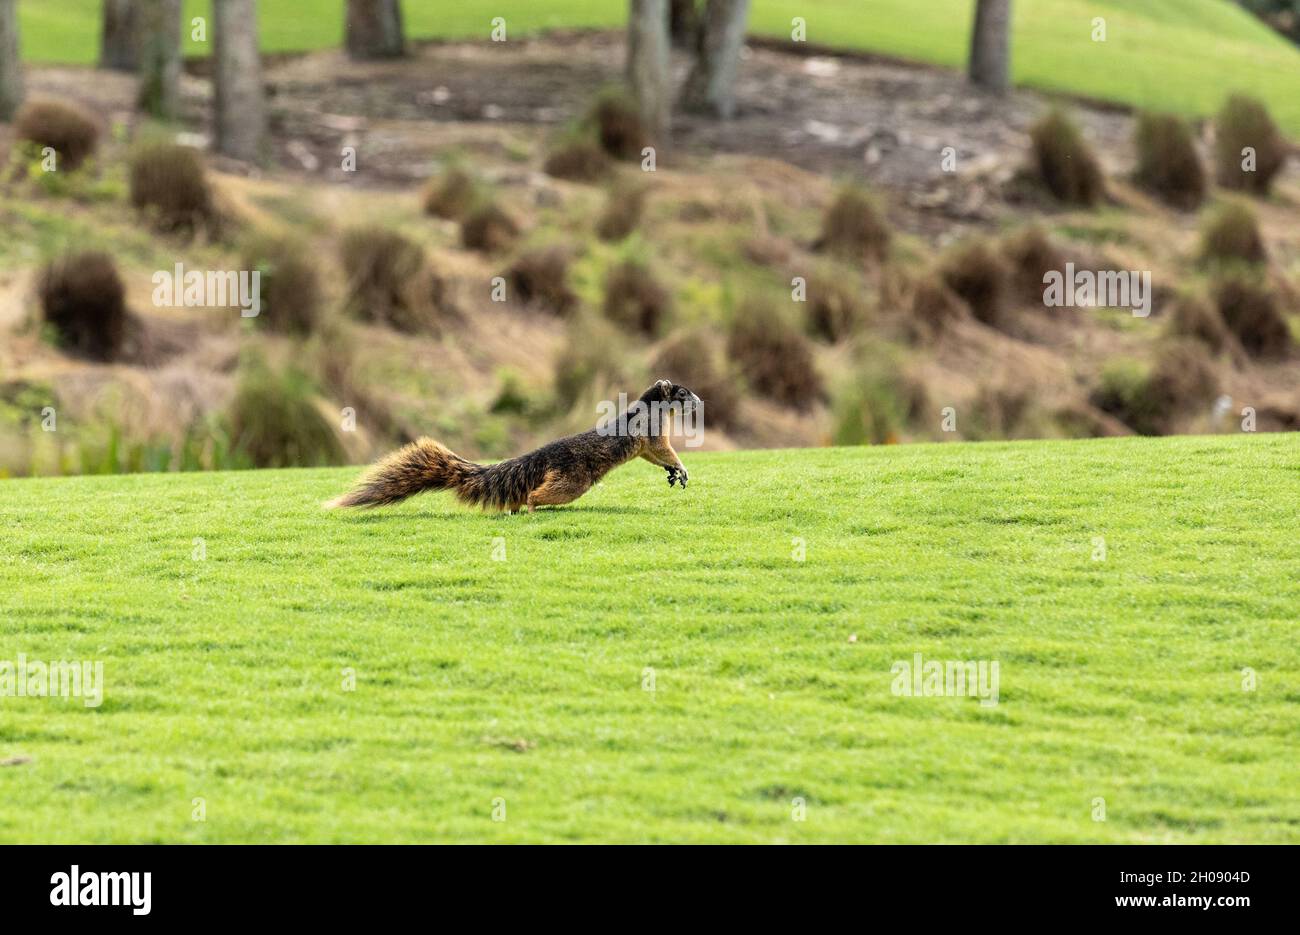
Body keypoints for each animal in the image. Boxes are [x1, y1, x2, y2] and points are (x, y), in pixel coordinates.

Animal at [327, 380, 701, 513]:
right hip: (573, 481)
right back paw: (533, 508)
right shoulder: (651, 432)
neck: (649, 405)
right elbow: (663, 449)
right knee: (540, 492)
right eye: (682, 393)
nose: (699, 401)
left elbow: (654, 456)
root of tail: (543, 454)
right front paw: (681, 468)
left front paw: (672, 472)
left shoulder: (645, 444)